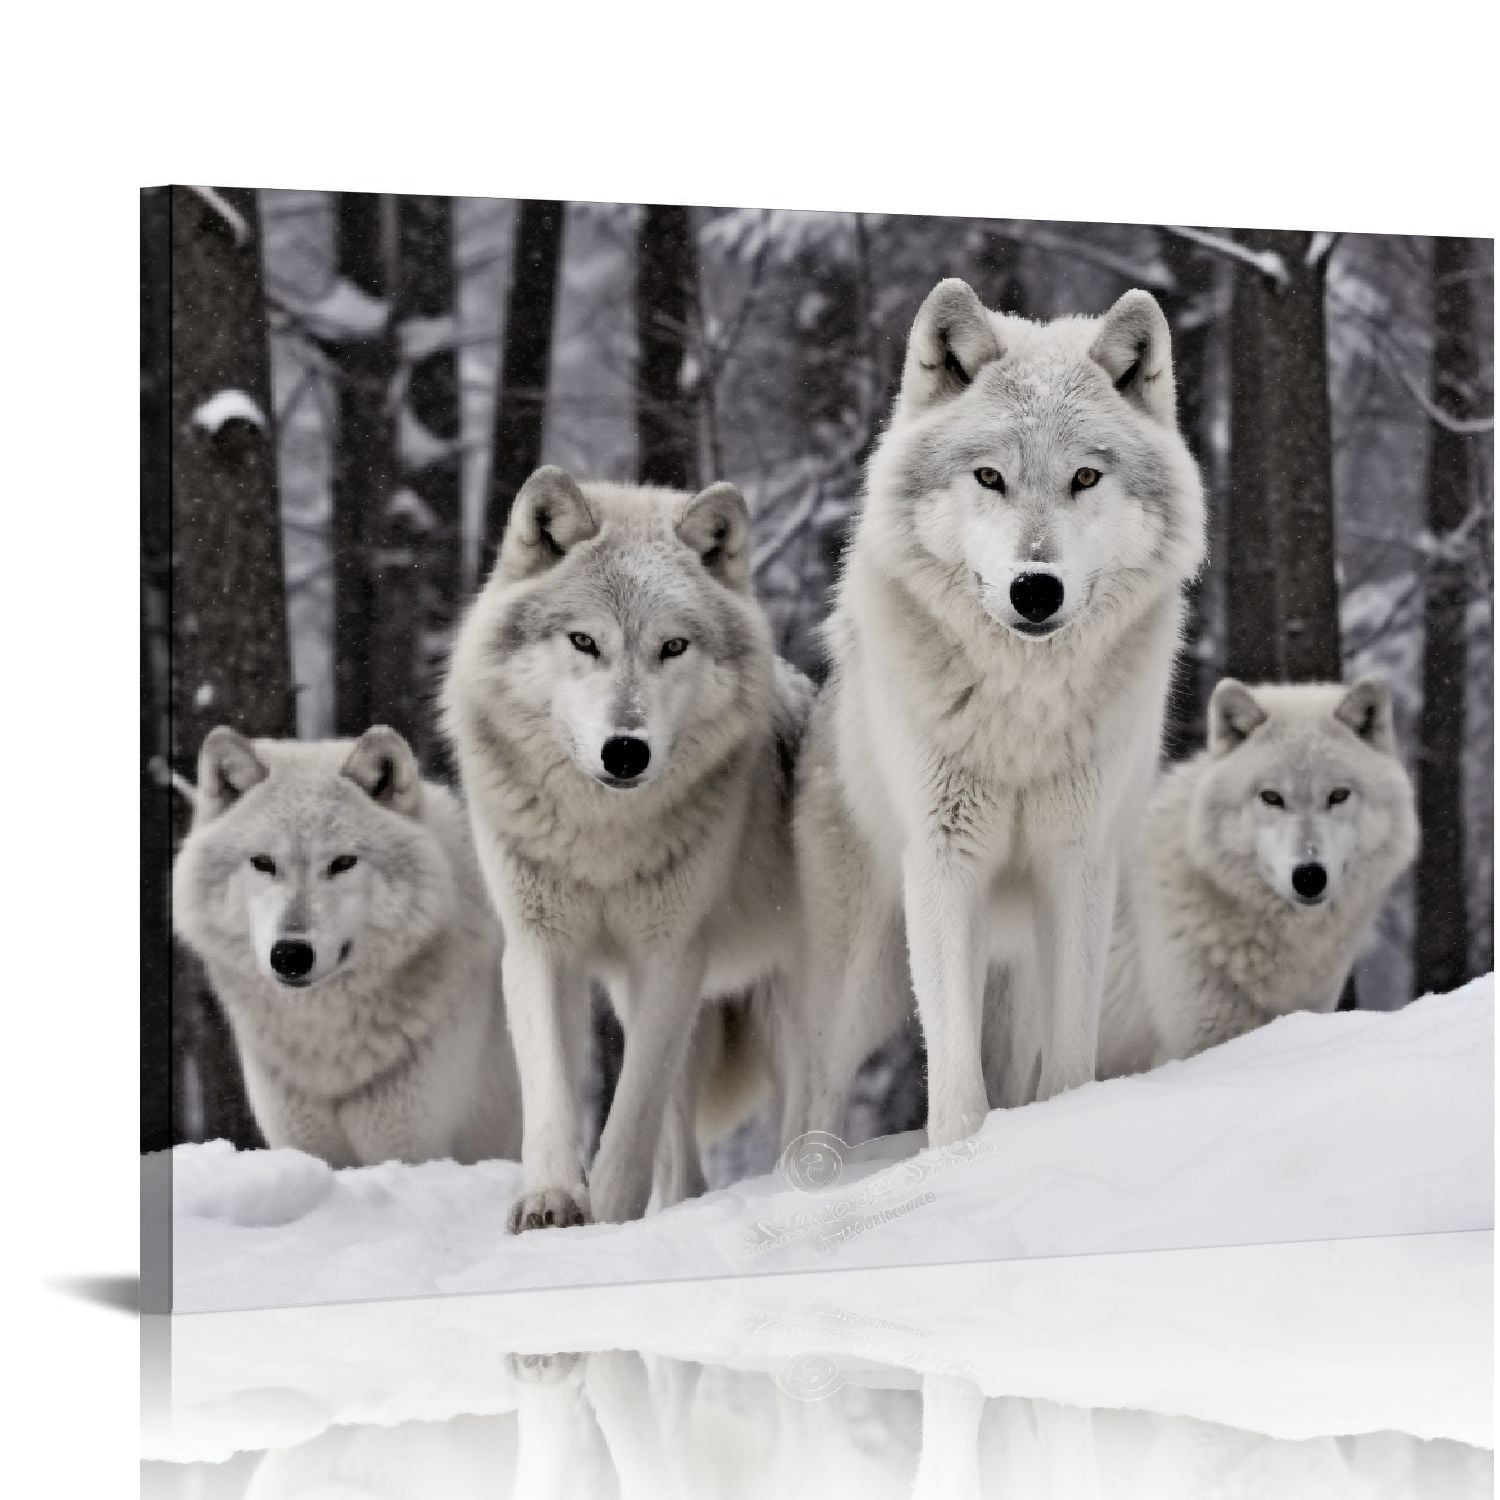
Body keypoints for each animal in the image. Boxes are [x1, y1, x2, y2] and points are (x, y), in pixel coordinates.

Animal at [172, 725, 521, 1167]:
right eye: (263, 863)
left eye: (342, 863)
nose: (290, 954)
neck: (327, 1043)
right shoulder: (304, 1146)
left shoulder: (413, 1149)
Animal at [442, 465, 813, 1231]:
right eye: (584, 641)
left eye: (673, 646)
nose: (625, 751)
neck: (603, 838)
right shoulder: (540, 948)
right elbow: (553, 1096)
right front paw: (550, 1201)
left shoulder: (670, 957)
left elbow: (629, 1116)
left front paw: (609, 1215)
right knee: (685, 1161)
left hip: (787, 1005)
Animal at [794, 279, 1207, 1145]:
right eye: (989, 477)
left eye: (1085, 478)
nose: (1035, 589)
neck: (1023, 709)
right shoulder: (946, 862)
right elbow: (953, 1075)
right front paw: (959, 1153)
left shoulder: (1077, 864)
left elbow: (1070, 1055)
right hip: (857, 981)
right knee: (809, 1094)